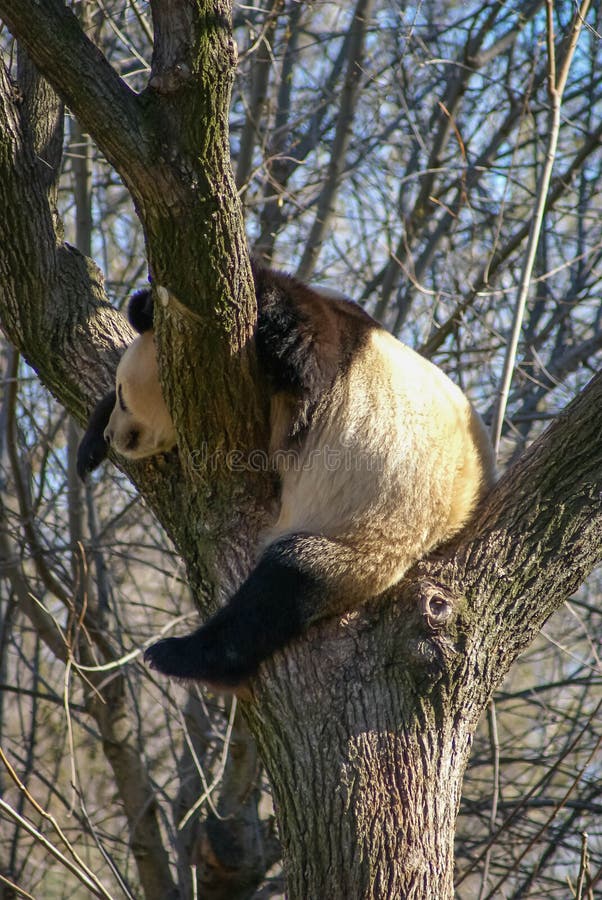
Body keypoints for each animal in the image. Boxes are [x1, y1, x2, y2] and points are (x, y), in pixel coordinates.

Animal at [78, 261, 495, 689]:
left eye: (125, 394)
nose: (114, 436)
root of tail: (454, 522)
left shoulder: (317, 367)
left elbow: (300, 337)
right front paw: (89, 444)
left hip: (369, 537)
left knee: (284, 584)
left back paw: (182, 655)